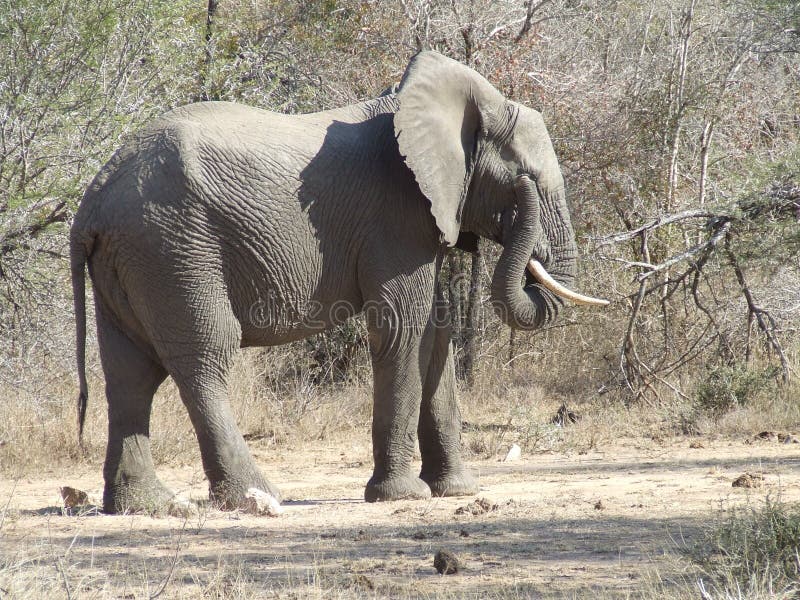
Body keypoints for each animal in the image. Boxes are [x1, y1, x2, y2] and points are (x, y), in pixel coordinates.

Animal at [70, 50, 606, 514]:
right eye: (525, 178)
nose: (523, 195)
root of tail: (92, 202)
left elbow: (435, 335)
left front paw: (456, 491)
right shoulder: (396, 215)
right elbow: (402, 330)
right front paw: (400, 496)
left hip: (132, 261)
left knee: (129, 374)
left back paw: (143, 506)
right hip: (175, 251)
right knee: (205, 359)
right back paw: (258, 497)